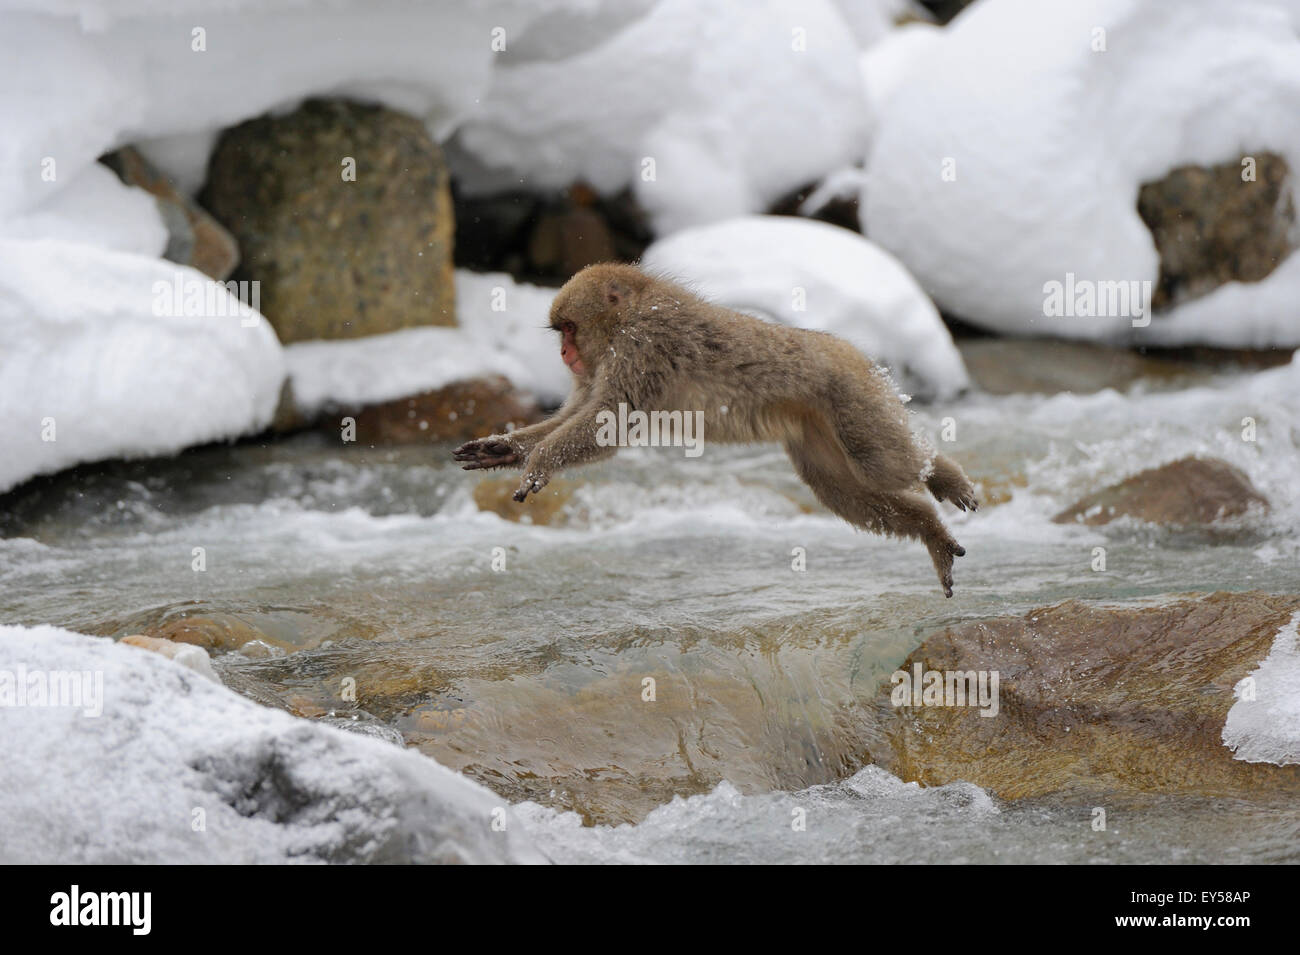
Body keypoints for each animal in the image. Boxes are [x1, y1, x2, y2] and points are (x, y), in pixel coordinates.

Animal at [454, 263, 977, 597]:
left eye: (568, 328)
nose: (564, 354)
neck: (627, 317)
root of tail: (849, 349)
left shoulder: (642, 347)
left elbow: (609, 423)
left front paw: (539, 463)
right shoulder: (599, 367)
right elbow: (581, 415)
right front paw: (501, 449)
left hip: (852, 398)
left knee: (886, 462)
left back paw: (943, 474)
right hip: (817, 428)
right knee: (839, 490)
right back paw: (930, 531)